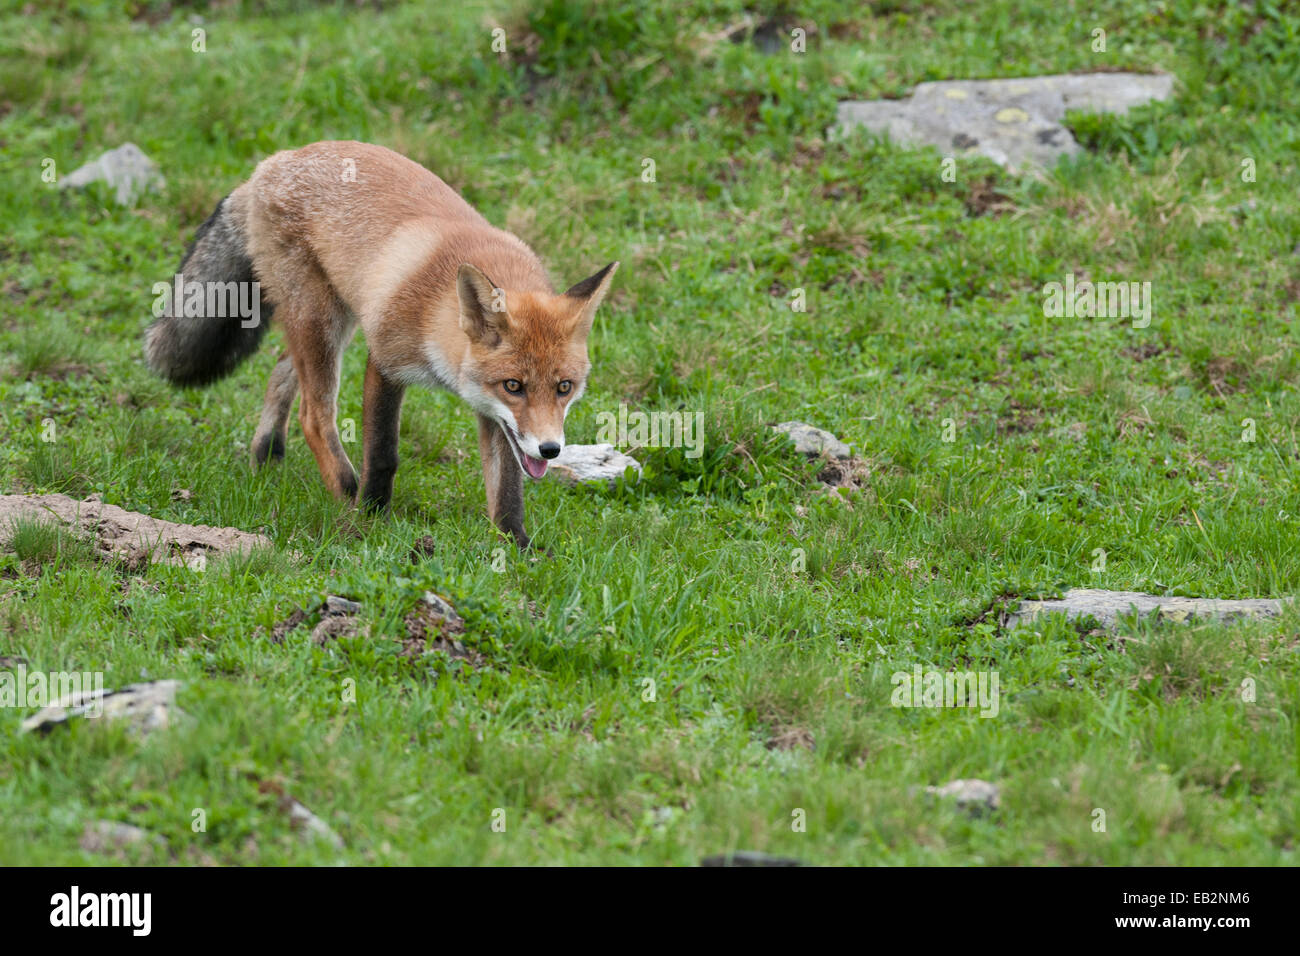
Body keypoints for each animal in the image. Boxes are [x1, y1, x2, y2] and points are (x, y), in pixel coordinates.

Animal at [144, 140, 618, 549]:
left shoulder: (492, 412)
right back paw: (344, 492)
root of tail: (272, 162)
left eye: (564, 388)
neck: (437, 315)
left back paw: (266, 455)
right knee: (314, 415)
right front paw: (371, 517)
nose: (551, 449)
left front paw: (516, 547)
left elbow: (507, 490)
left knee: (281, 369)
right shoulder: (387, 362)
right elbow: (384, 453)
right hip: (322, 320)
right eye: (515, 386)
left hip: (333, 318)